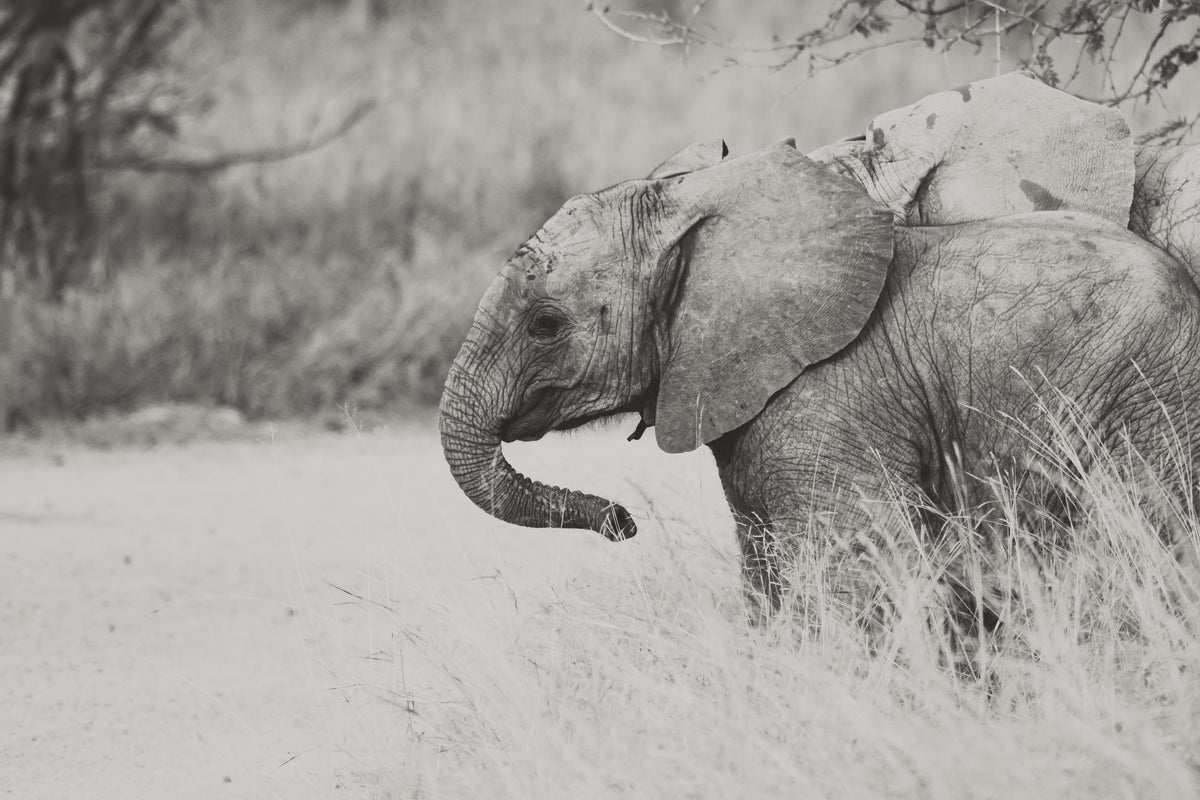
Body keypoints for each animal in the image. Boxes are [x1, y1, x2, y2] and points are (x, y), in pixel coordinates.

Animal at [439, 74, 1200, 619]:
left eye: (545, 325)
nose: (624, 521)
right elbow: (766, 575)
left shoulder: (830, 393)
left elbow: (857, 572)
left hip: (1146, 398)